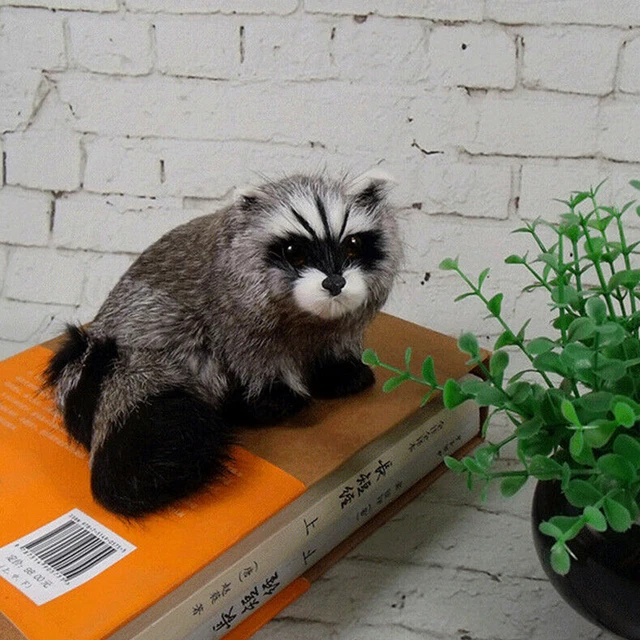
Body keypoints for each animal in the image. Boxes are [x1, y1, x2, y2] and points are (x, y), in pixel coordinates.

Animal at [44, 171, 402, 517]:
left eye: (353, 245)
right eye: (294, 252)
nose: (335, 282)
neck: (304, 315)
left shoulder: (339, 321)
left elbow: (336, 339)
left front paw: (338, 370)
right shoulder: (233, 314)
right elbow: (255, 357)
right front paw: (272, 395)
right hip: (145, 335)